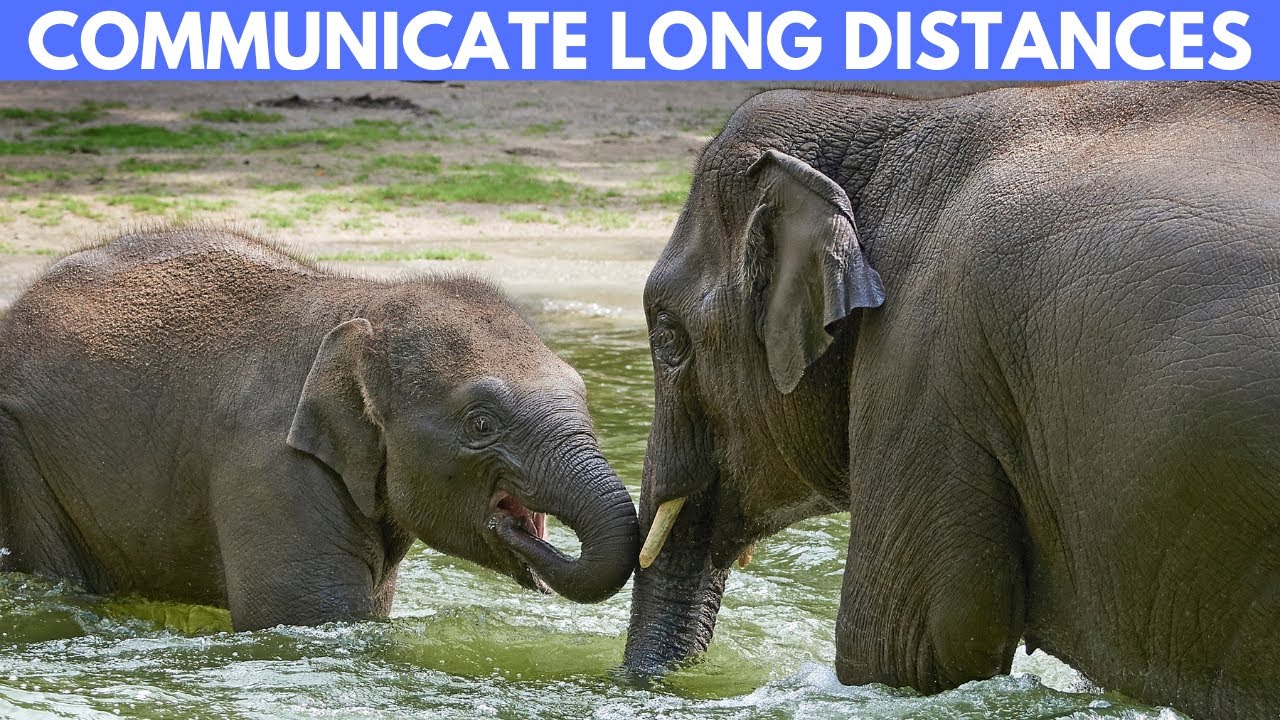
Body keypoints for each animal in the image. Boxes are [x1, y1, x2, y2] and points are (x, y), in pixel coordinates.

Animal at [0, 226, 639, 630]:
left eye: (581, 392)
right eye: (481, 423)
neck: (363, 303)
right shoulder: (270, 473)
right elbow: (311, 619)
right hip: (19, 454)